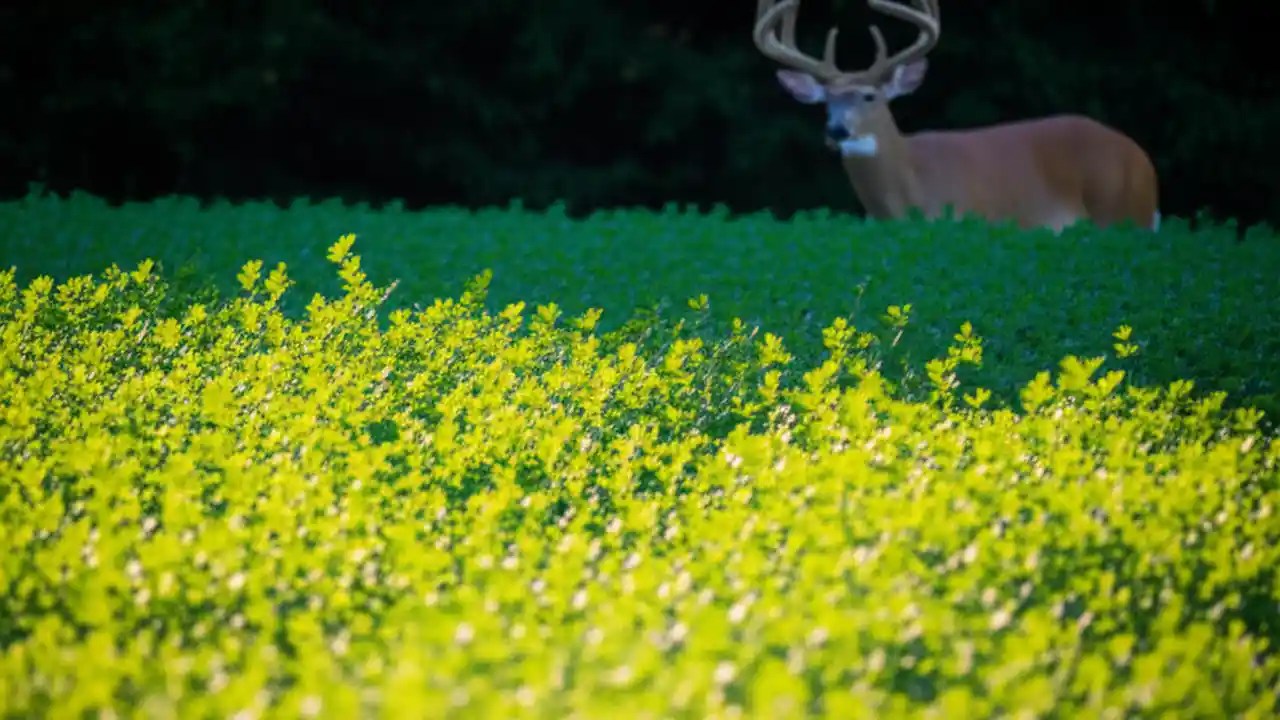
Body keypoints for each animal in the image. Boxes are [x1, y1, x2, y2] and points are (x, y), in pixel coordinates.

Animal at [753, 0, 1161, 233]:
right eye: (826, 102)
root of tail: (1141, 157)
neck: (908, 197)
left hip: (1124, 213)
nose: (837, 130)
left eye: (869, 96)